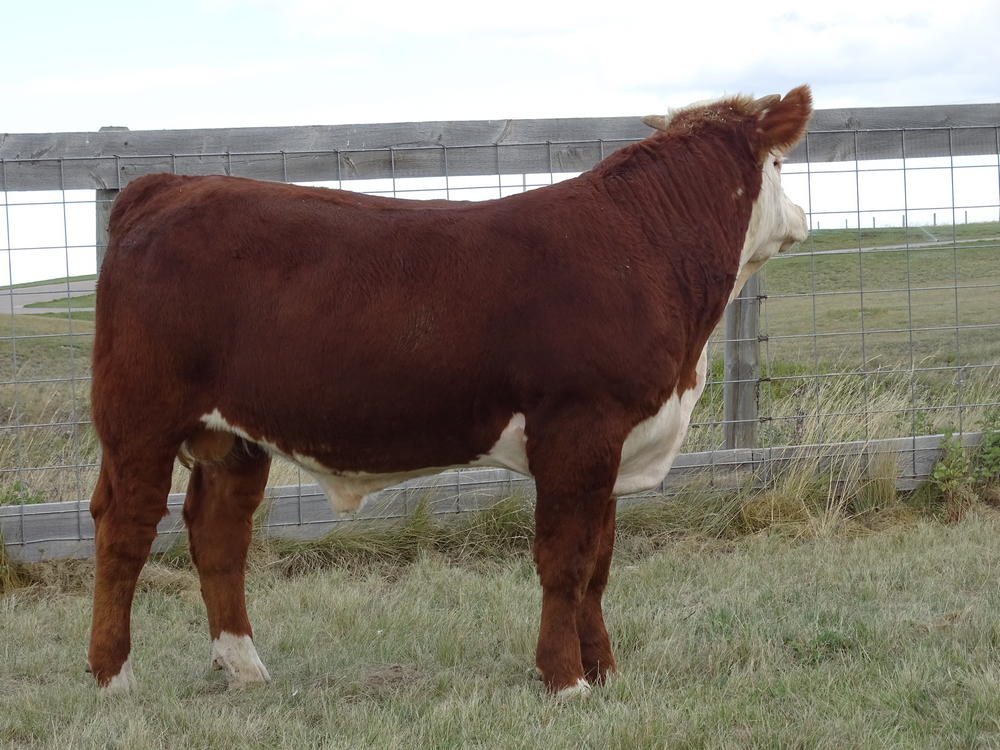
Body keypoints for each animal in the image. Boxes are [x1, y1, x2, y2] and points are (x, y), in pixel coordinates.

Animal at [87, 86, 812, 696]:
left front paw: (604, 670)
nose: (805, 215)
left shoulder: (615, 440)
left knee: (218, 534)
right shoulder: (577, 428)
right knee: (124, 529)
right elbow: (564, 562)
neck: (645, 250)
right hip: (139, 418)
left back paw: (244, 667)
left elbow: (598, 565)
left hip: (233, 437)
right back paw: (113, 677)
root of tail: (167, 185)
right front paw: (565, 680)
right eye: (780, 163)